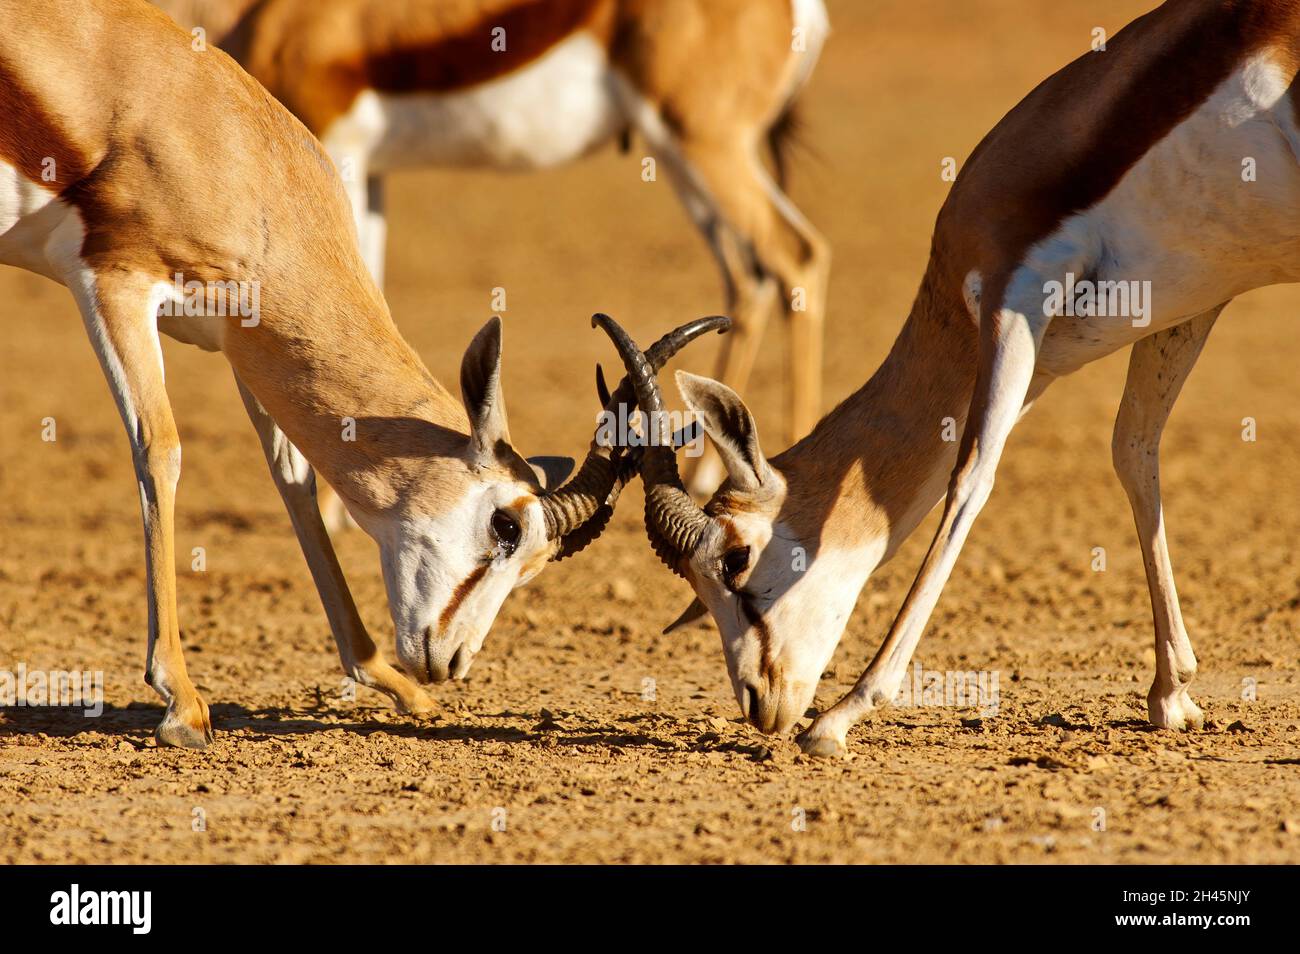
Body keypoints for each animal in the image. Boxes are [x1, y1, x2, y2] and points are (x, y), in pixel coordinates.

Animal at [0, 0, 724, 748]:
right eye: (505, 527)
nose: (450, 662)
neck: (221, 142)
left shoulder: (242, 341)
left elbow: (293, 480)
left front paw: (387, 679)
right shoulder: (112, 284)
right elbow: (160, 450)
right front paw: (182, 704)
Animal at [154, 0, 832, 506]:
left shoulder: (331, 142)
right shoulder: (369, 171)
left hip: (703, 143)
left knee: (797, 255)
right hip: (681, 157)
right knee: (748, 277)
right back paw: (706, 474)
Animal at [598, 0, 1300, 757]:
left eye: (734, 559)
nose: (761, 702)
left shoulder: (1012, 296)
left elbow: (971, 477)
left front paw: (843, 713)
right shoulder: (1188, 305)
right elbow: (1133, 452)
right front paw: (1172, 693)